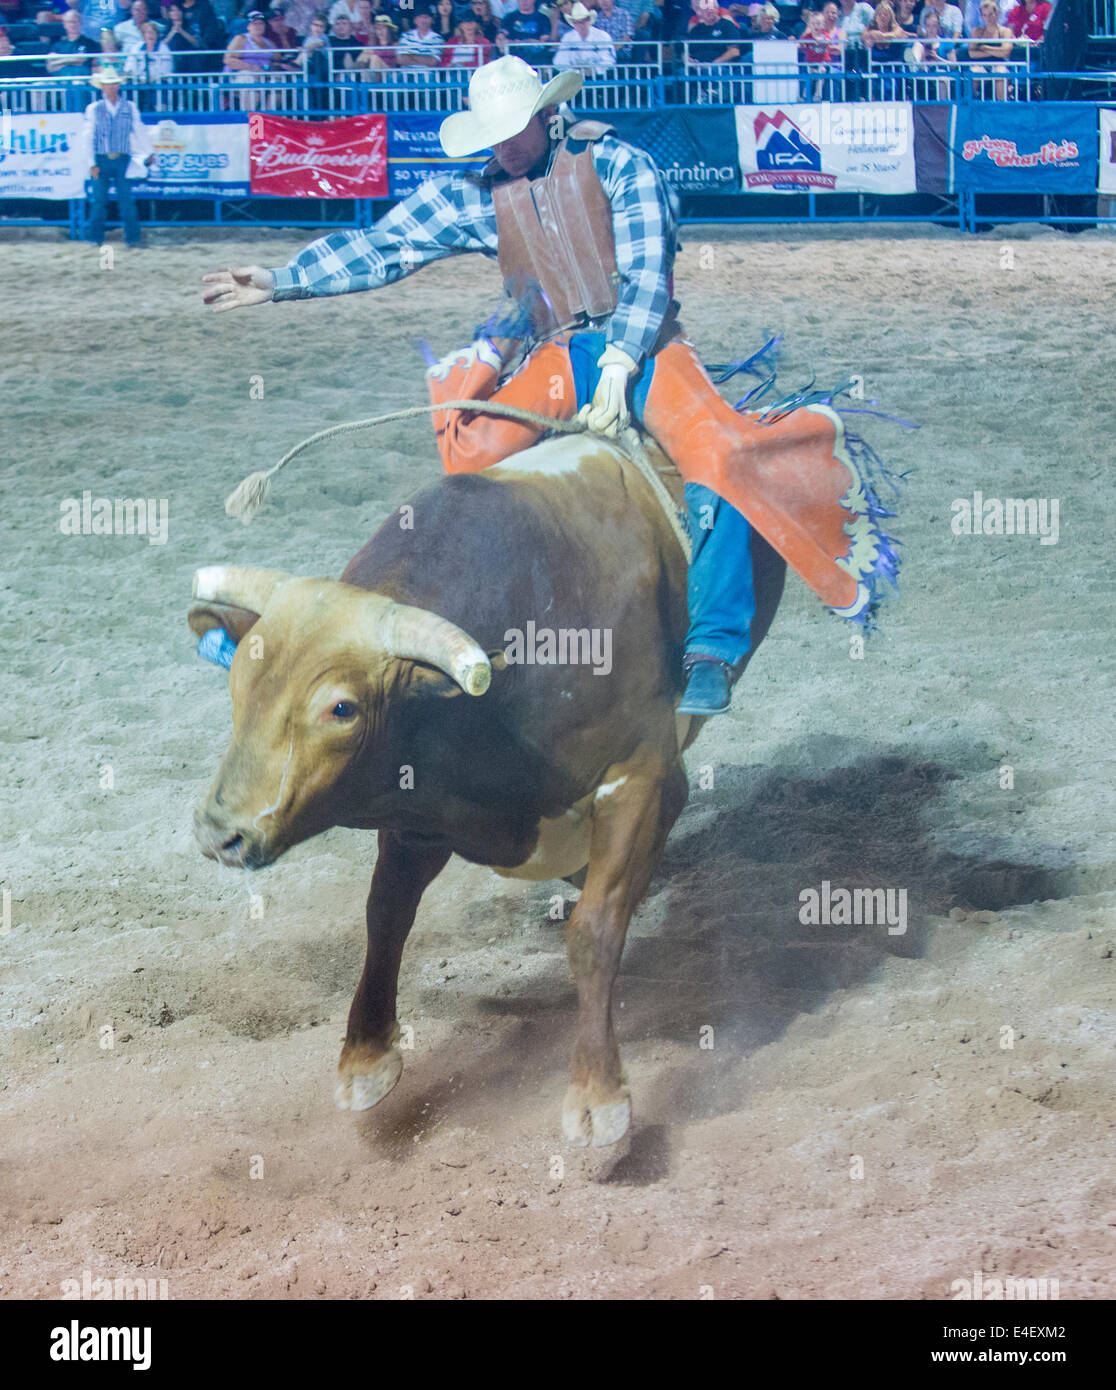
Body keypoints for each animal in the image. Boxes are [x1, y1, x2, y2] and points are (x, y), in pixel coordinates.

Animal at [189, 432, 786, 1146]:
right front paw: (367, 1057)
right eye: (236, 683)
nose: (219, 832)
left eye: (341, 709)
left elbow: (595, 931)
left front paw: (598, 1095)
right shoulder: (418, 811)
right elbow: (385, 914)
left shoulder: (641, 779)